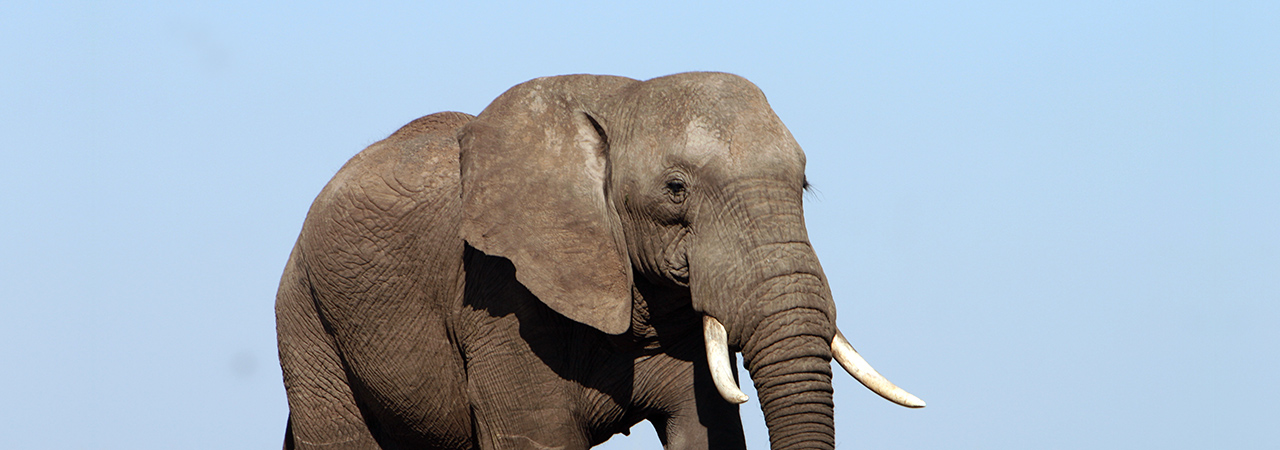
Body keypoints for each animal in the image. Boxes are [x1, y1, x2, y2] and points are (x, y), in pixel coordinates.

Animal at [276, 72, 924, 450]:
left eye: (805, 185)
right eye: (676, 191)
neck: (621, 98)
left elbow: (704, 424)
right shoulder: (498, 295)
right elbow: (536, 432)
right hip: (306, 319)